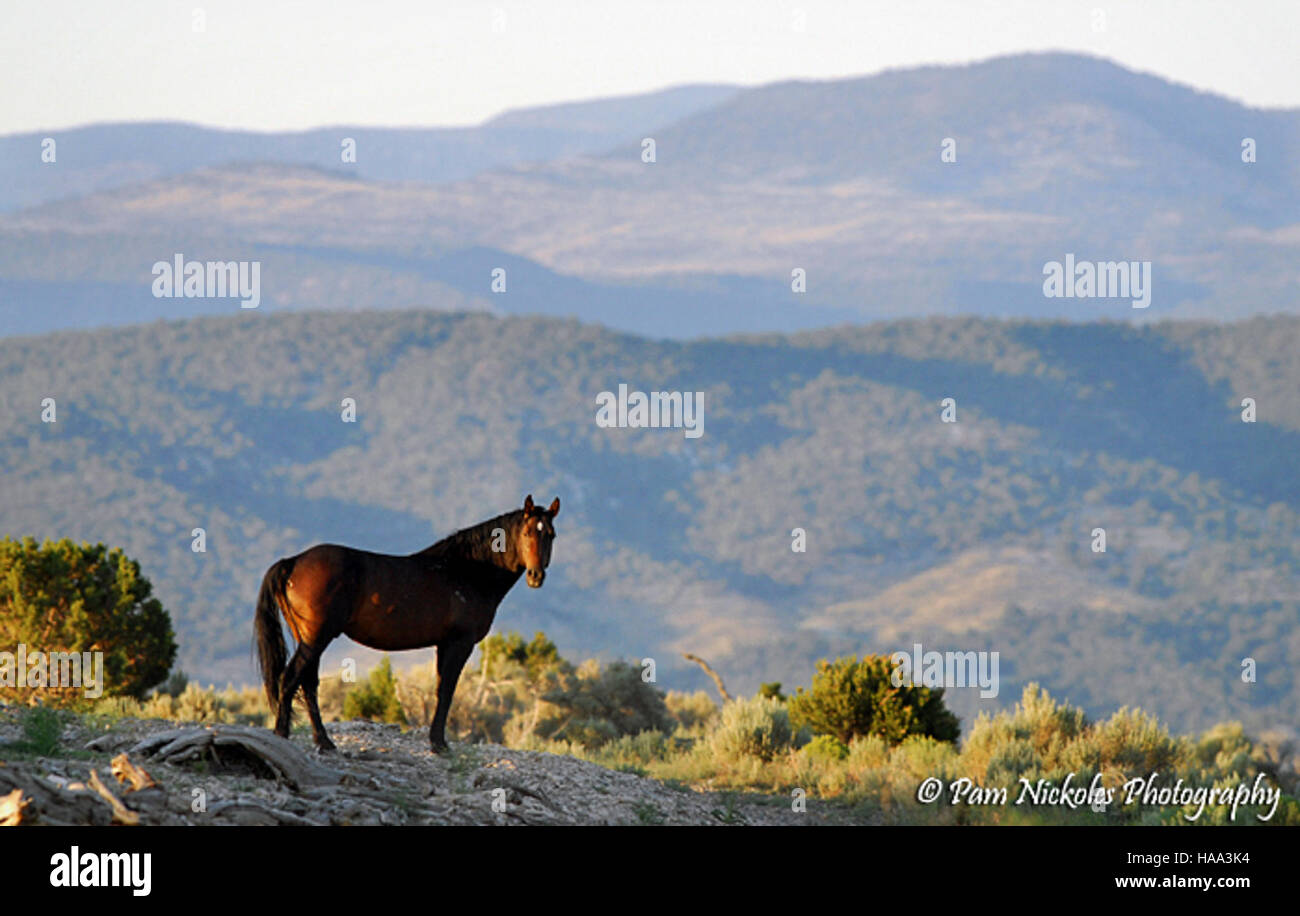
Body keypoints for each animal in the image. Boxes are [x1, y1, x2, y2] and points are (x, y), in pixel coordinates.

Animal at [254, 495, 559, 753]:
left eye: (551, 534)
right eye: (527, 532)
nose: (536, 576)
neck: (467, 571)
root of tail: (293, 562)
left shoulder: (444, 645)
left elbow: (440, 689)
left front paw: (436, 740)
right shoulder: (459, 643)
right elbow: (447, 691)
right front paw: (439, 744)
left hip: (311, 638)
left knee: (307, 683)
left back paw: (324, 741)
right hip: (317, 637)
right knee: (291, 678)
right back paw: (283, 735)